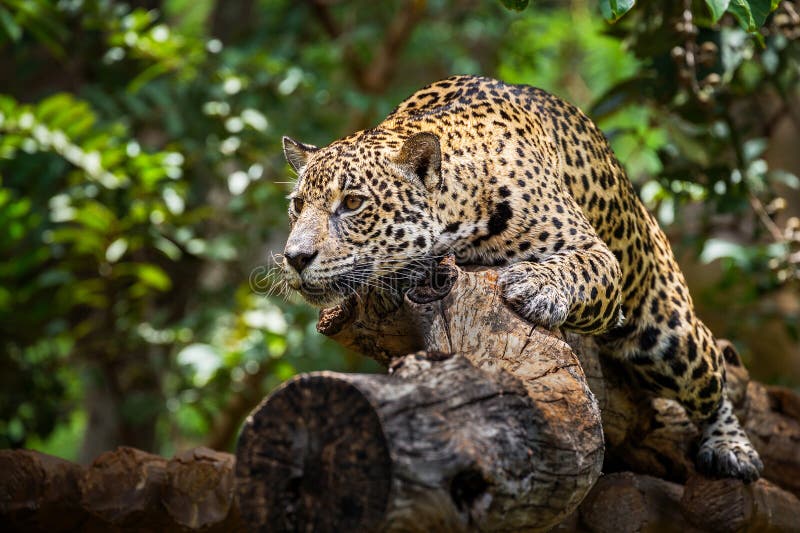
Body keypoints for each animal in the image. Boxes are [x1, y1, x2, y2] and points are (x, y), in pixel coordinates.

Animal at [278, 75, 763, 482]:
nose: (295, 257)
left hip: (666, 333)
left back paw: (732, 448)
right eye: (298, 206)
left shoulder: (600, 256)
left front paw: (536, 286)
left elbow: (578, 266)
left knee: (715, 371)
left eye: (353, 203)